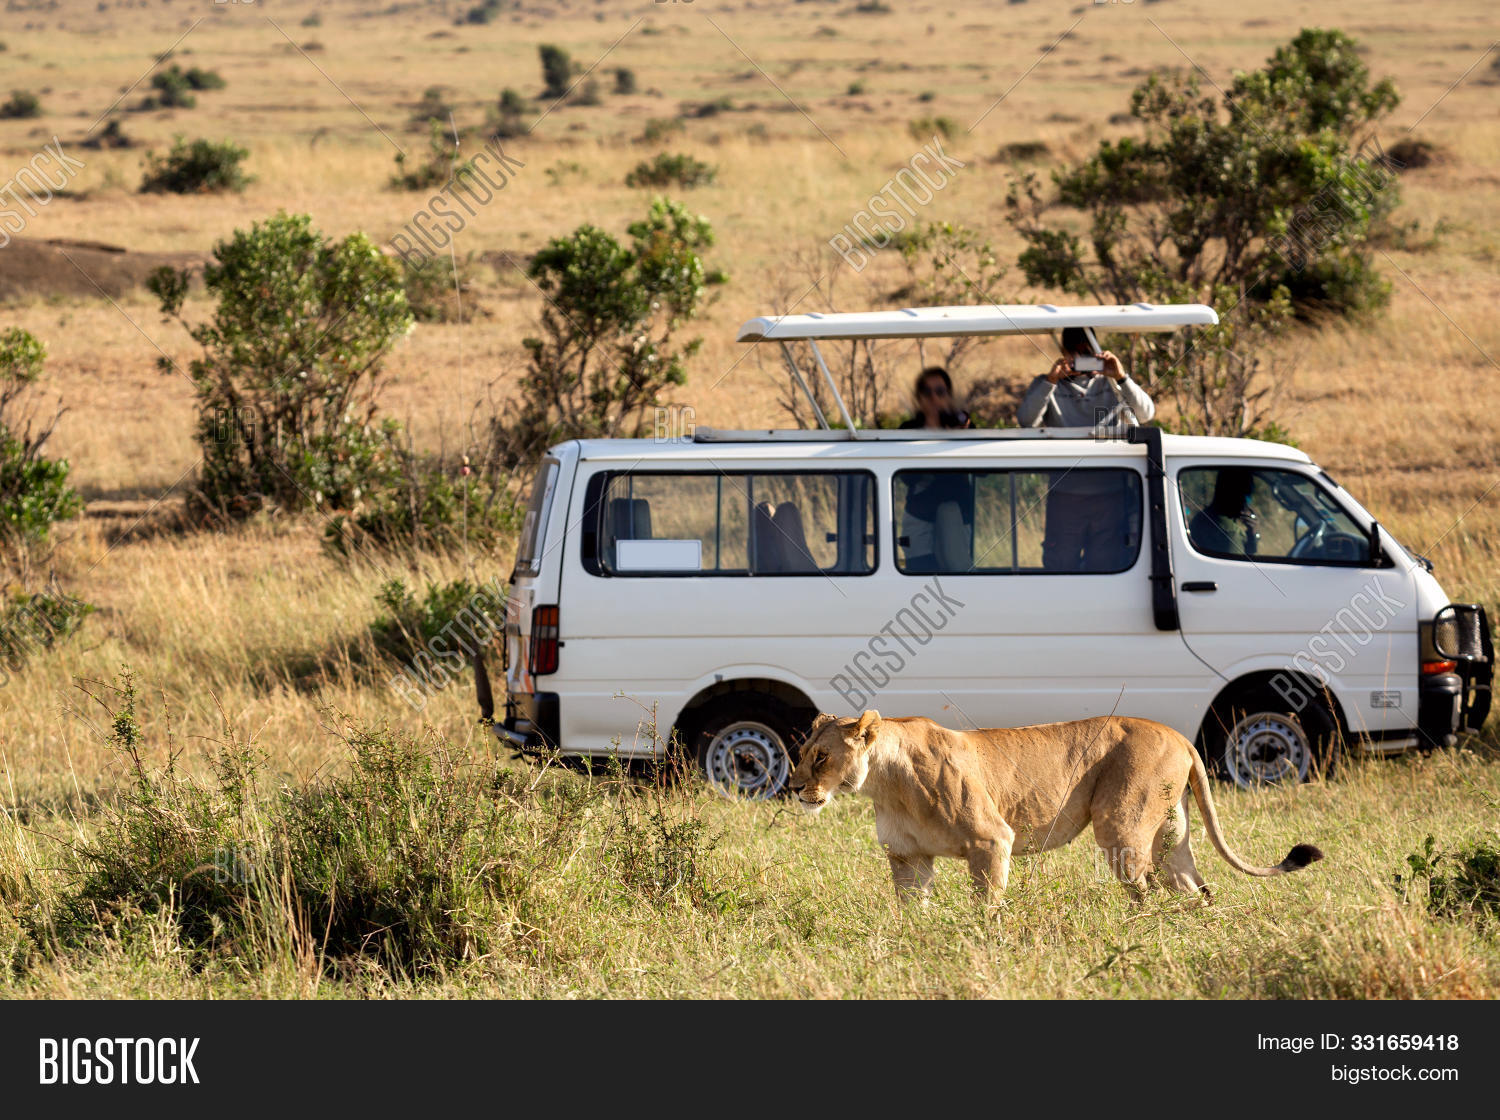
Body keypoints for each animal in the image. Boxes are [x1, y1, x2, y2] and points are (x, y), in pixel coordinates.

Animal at [787, 710, 1323, 904]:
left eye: (821, 756)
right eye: (801, 752)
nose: (793, 787)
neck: (885, 783)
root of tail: (1180, 736)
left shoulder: (991, 841)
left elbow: (987, 907)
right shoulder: (908, 859)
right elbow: (911, 911)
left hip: (1121, 827)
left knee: (1146, 889)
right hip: (1171, 832)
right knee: (1195, 888)